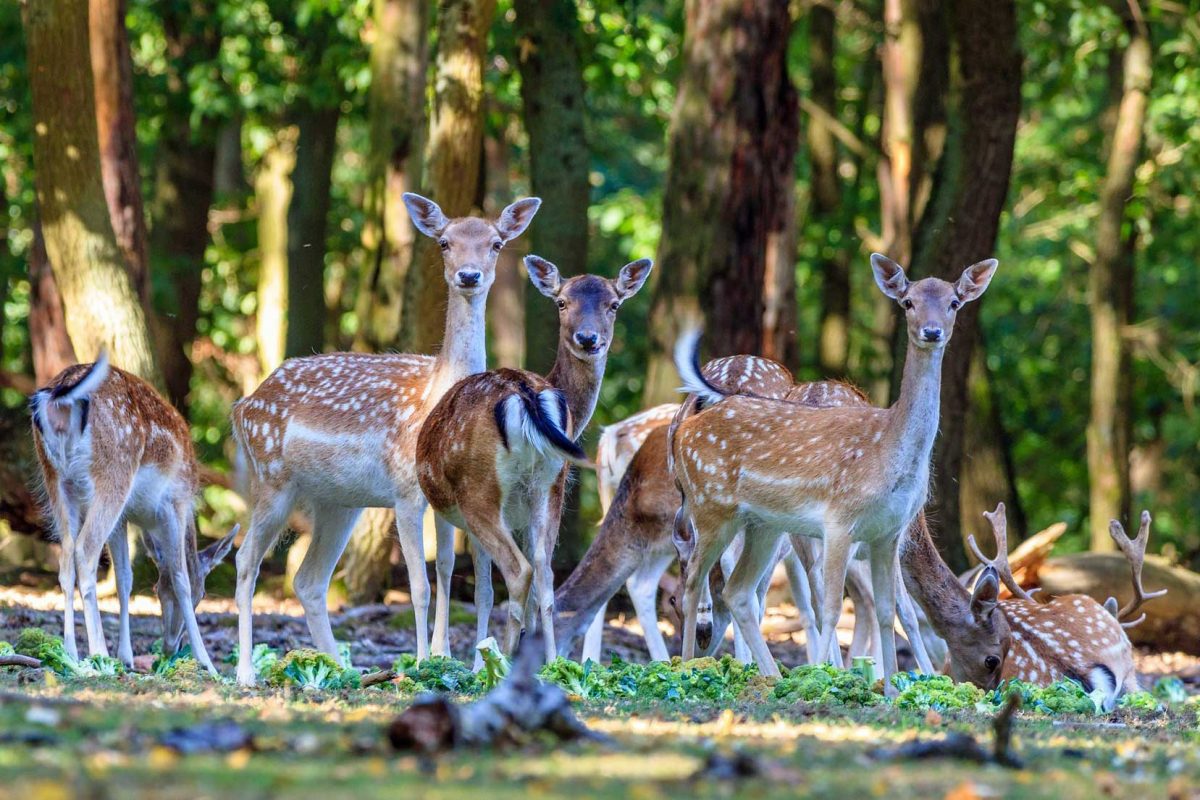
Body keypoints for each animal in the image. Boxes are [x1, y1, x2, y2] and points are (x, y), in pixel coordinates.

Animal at [30, 353, 237, 673]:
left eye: (155, 588)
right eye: (203, 594)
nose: (170, 646)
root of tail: (60, 396)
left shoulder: (123, 517)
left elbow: (124, 578)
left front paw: (126, 656)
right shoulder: (176, 503)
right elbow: (181, 575)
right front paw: (207, 663)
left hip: (55, 479)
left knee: (65, 557)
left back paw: (69, 653)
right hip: (113, 472)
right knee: (85, 551)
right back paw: (98, 653)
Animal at [230, 193, 540, 685]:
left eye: (496, 243)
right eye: (444, 242)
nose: (468, 275)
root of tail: (242, 406)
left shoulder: (441, 496)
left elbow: (449, 572)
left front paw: (444, 658)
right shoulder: (404, 490)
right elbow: (419, 584)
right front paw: (421, 663)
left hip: (338, 501)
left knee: (309, 579)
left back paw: (340, 669)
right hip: (271, 480)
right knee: (246, 561)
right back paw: (246, 672)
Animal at [417, 255, 653, 662]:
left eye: (614, 304)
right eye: (562, 302)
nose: (588, 339)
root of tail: (526, 393)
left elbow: (472, 585)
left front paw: (465, 660)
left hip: (478, 490)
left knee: (519, 571)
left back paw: (504, 656)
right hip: (549, 485)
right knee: (545, 572)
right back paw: (551, 661)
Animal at [670, 253, 998, 682]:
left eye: (954, 303)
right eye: (908, 301)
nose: (931, 331)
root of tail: (687, 427)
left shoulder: (887, 532)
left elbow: (888, 610)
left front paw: (890, 684)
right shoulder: (841, 523)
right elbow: (838, 607)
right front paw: (832, 677)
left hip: (762, 525)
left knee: (736, 590)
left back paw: (769, 675)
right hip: (712, 507)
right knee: (695, 582)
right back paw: (688, 667)